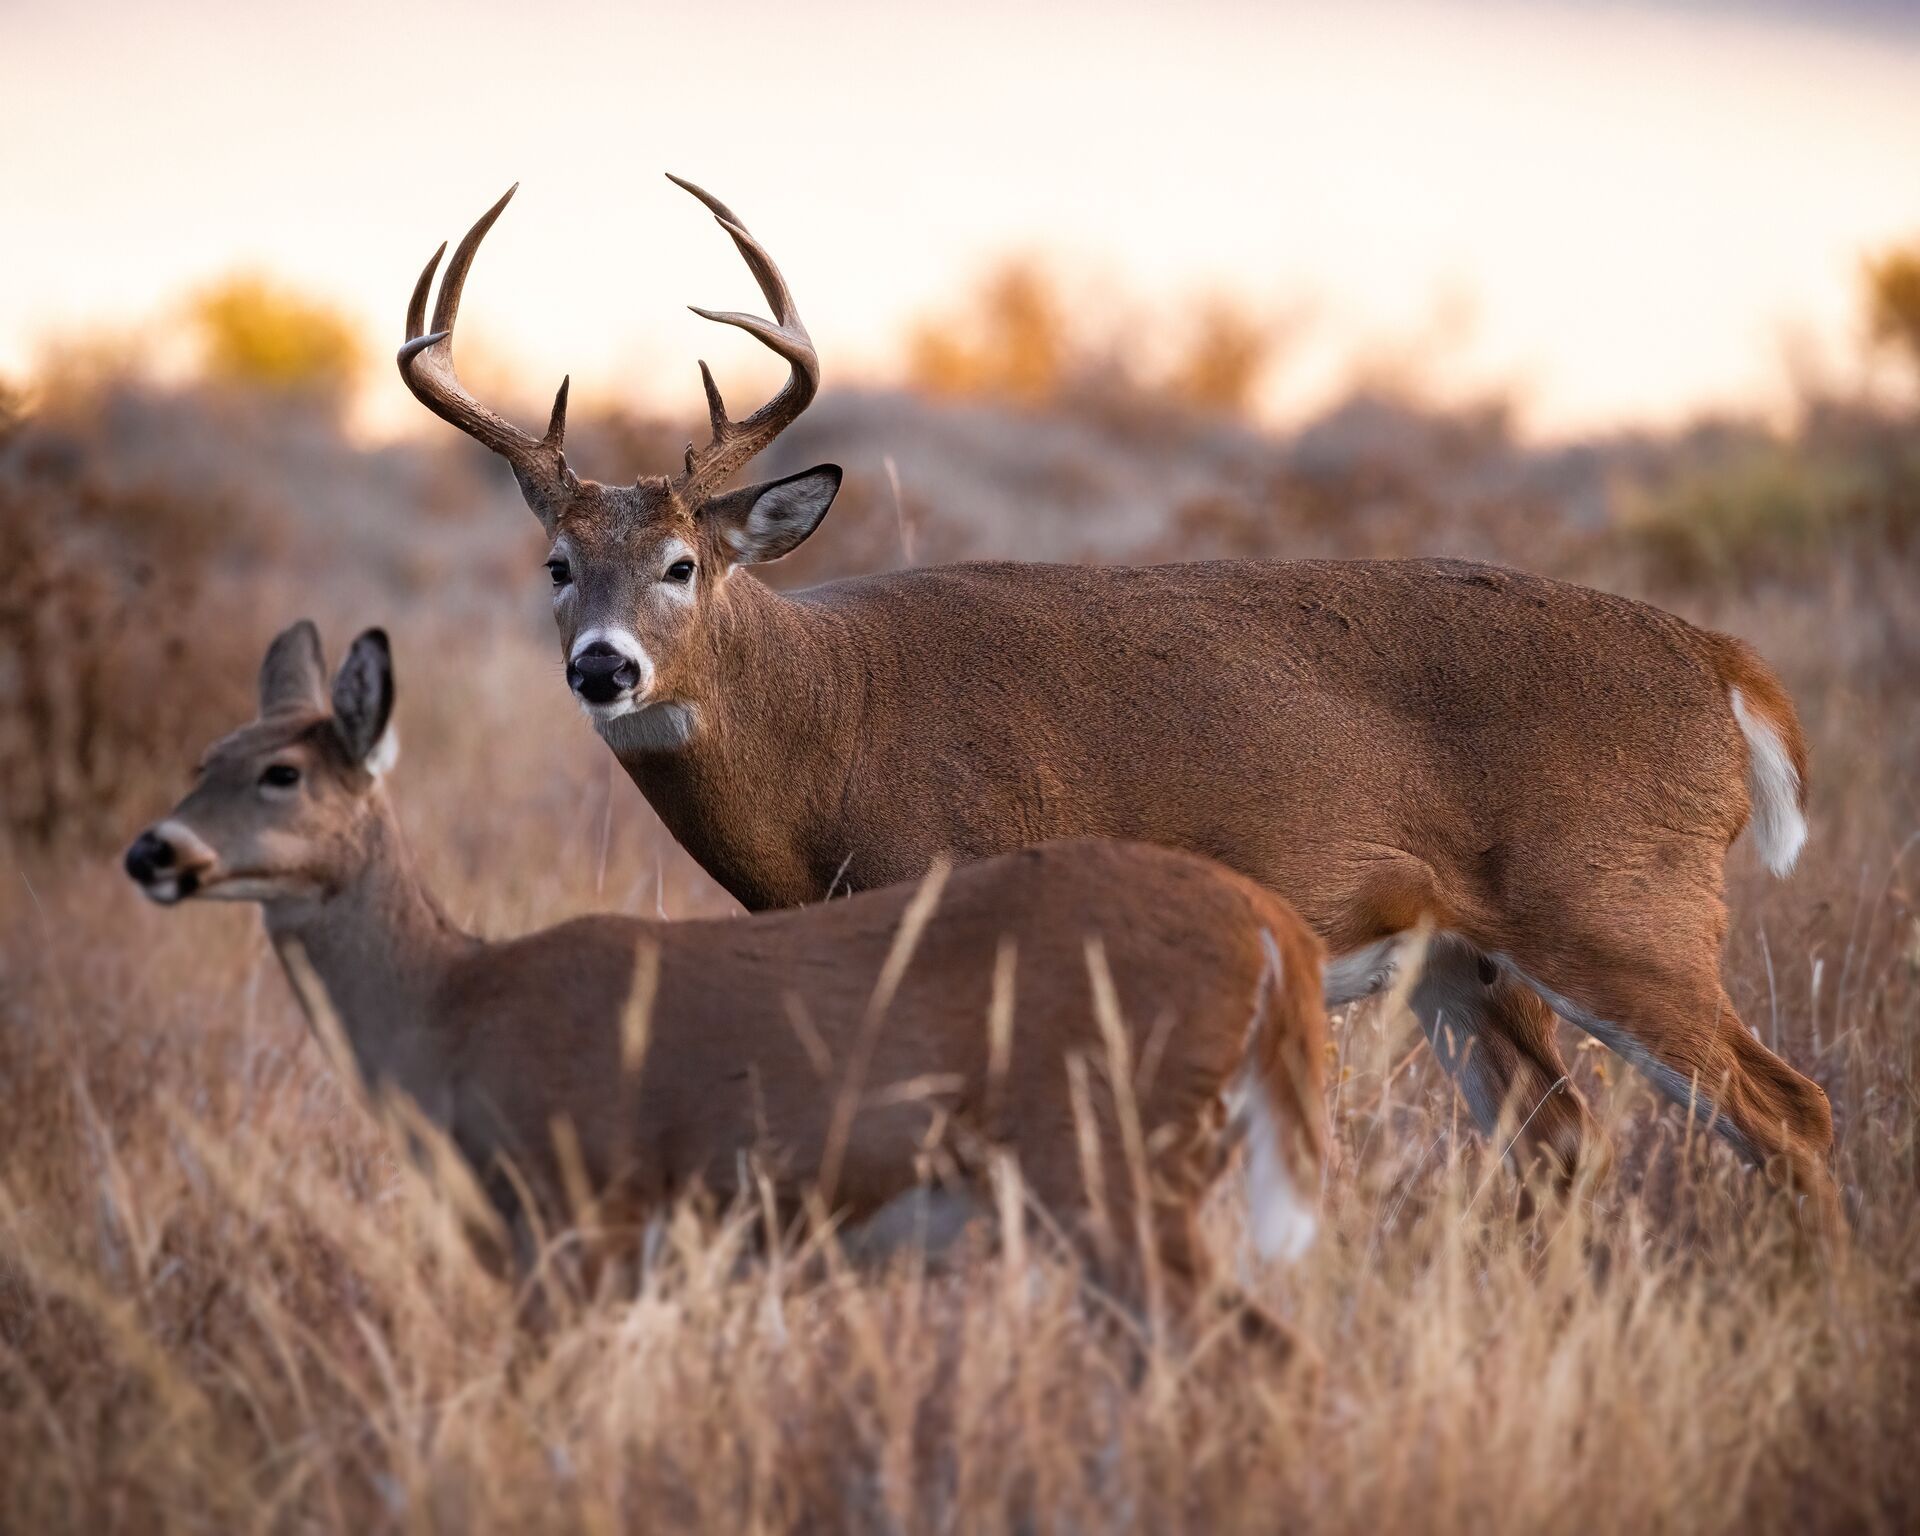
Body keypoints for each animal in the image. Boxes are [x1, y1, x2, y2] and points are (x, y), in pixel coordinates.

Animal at [123, 622, 1330, 1328]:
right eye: (203, 759)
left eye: (282, 774)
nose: (153, 852)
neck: (454, 1009)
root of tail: (1269, 930)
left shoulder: (583, 1208)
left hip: (1111, 1148)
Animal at [396, 178, 1841, 1241]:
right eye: (556, 564)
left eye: (685, 564)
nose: (603, 668)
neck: (830, 727)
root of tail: (1725, 665)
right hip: (1467, 959)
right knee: (1560, 1141)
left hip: (1621, 906)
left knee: (1790, 1114)